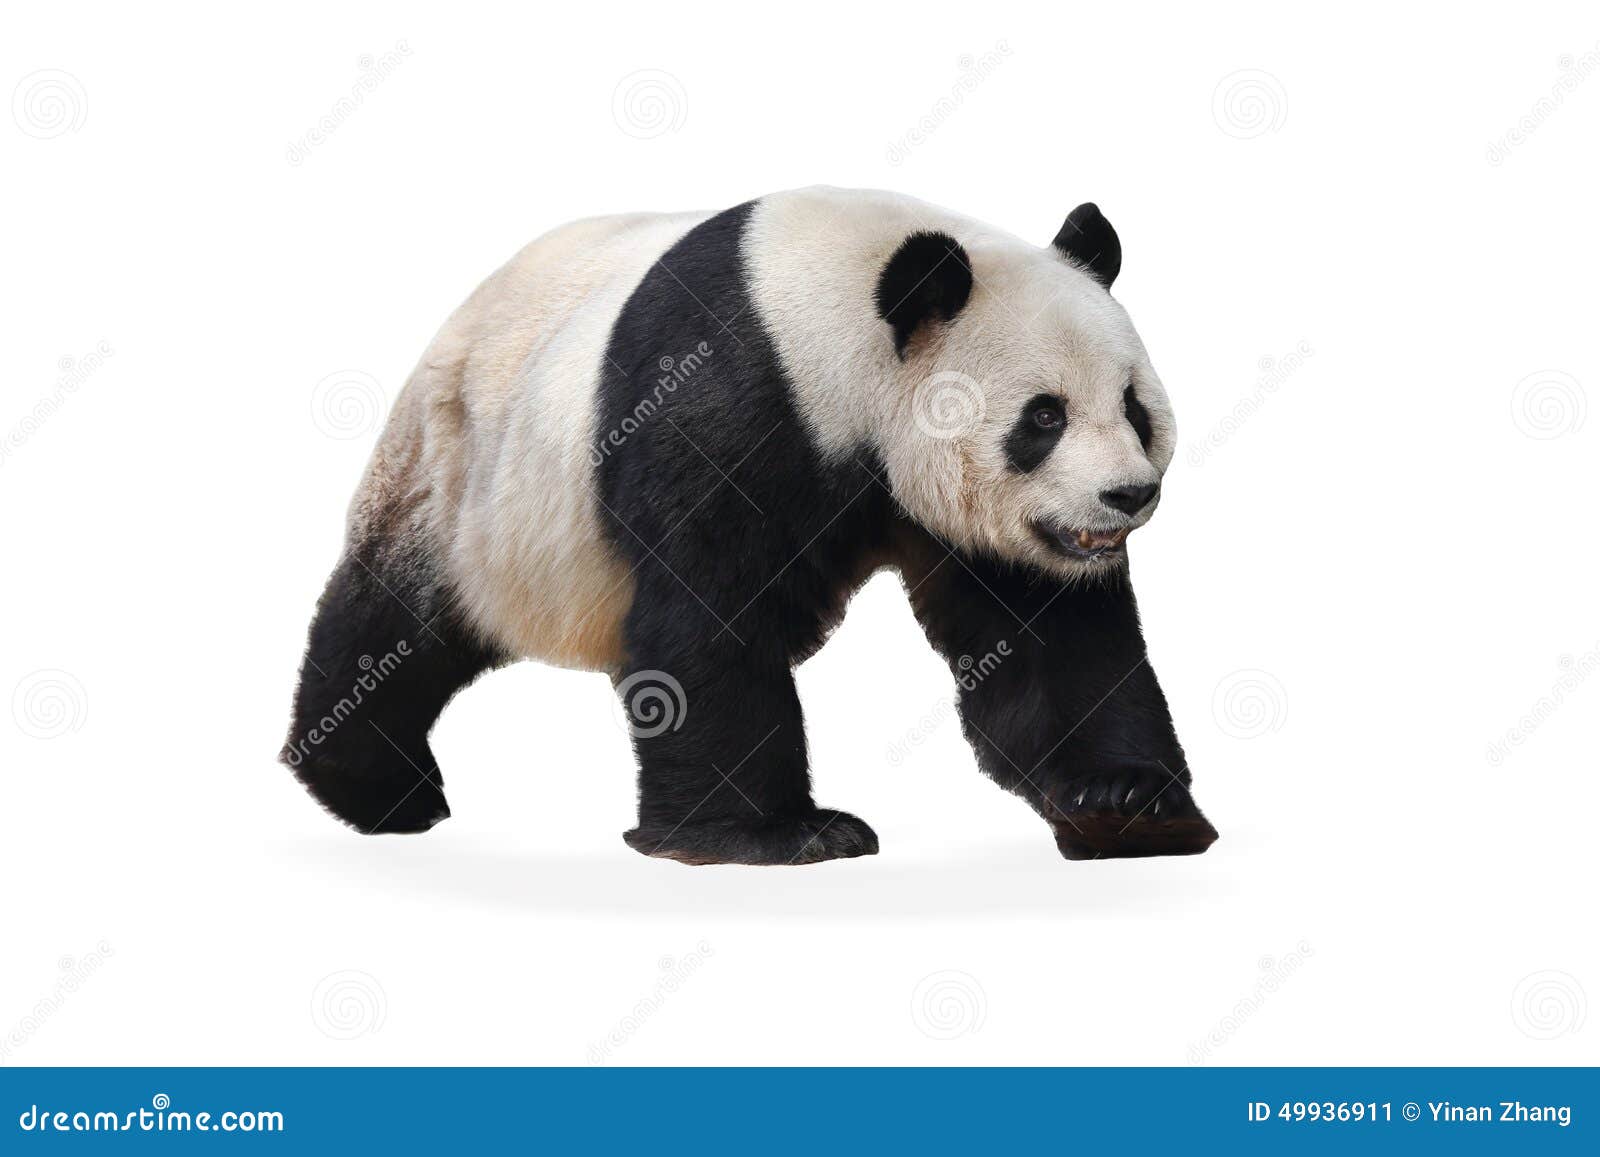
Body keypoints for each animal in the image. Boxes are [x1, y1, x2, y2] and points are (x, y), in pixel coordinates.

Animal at [282, 186, 1219, 865]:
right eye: (1043, 417)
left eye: (1134, 408)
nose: (1127, 495)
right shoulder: (728, 398)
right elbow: (703, 616)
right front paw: (778, 833)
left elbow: (1047, 639)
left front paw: (1127, 802)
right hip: (462, 475)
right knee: (391, 626)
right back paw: (375, 787)